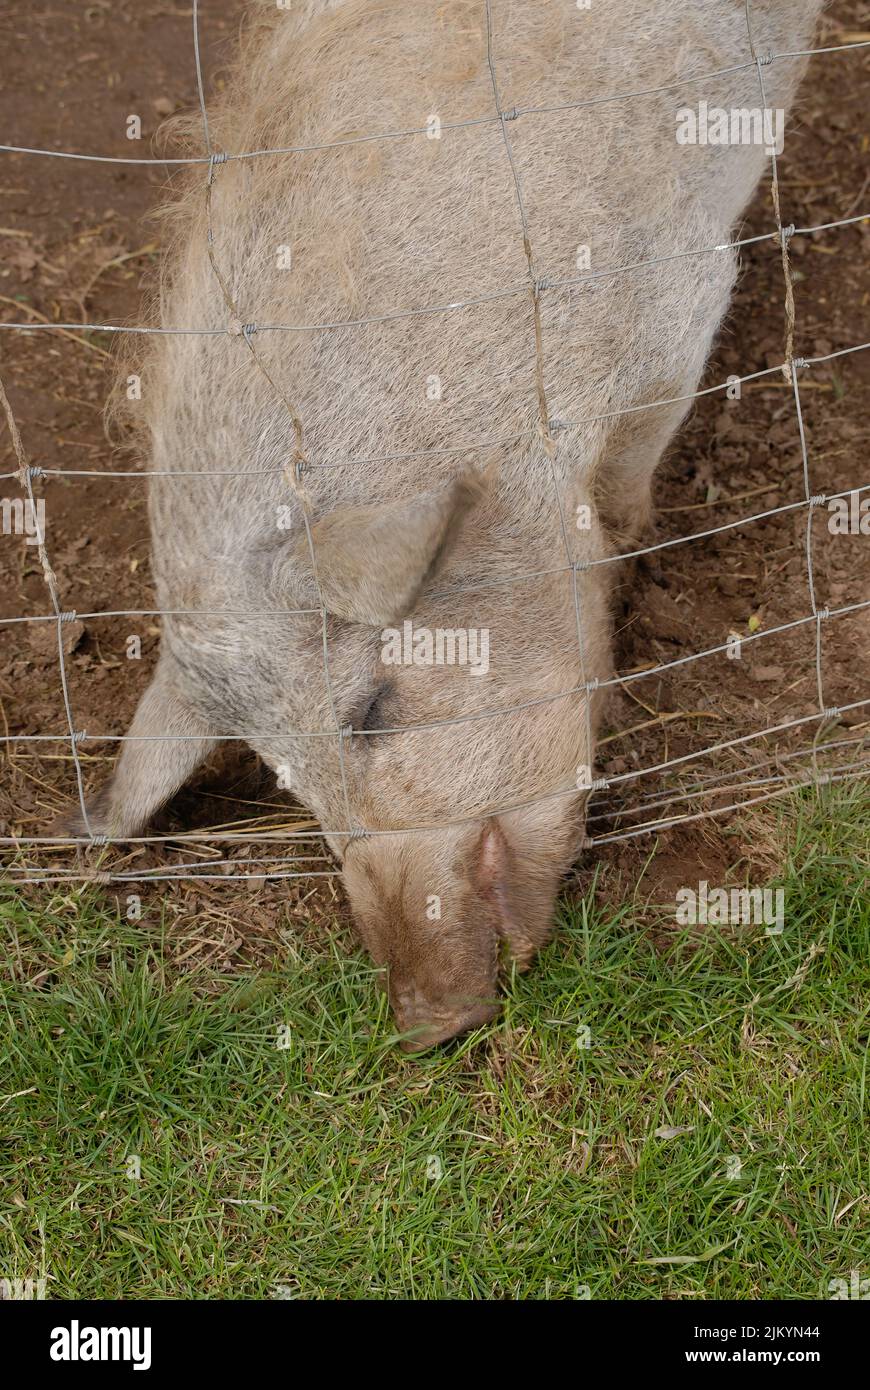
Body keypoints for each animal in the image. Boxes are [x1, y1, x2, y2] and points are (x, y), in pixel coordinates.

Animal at [67, 0, 823, 1048]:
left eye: (373, 708)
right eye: (284, 776)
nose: (425, 1023)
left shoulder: (679, 304)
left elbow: (628, 490)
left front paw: (631, 559)